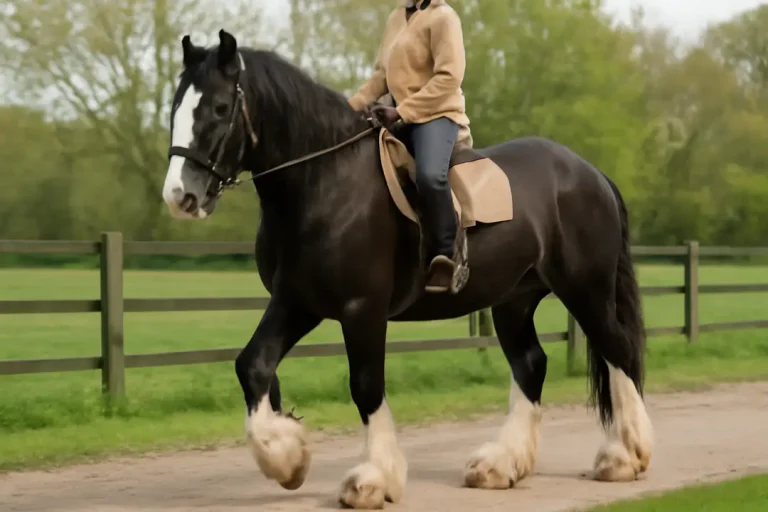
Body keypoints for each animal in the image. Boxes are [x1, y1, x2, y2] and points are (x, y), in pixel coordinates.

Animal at [161, 29, 653, 509]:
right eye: (175, 108)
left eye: (219, 108)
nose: (179, 196)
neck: (326, 181)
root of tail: (591, 173)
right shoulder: (297, 301)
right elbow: (253, 365)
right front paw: (288, 457)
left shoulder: (361, 308)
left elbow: (365, 385)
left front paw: (373, 480)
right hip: (514, 300)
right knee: (531, 364)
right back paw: (500, 465)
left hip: (585, 290)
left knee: (617, 350)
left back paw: (625, 456)